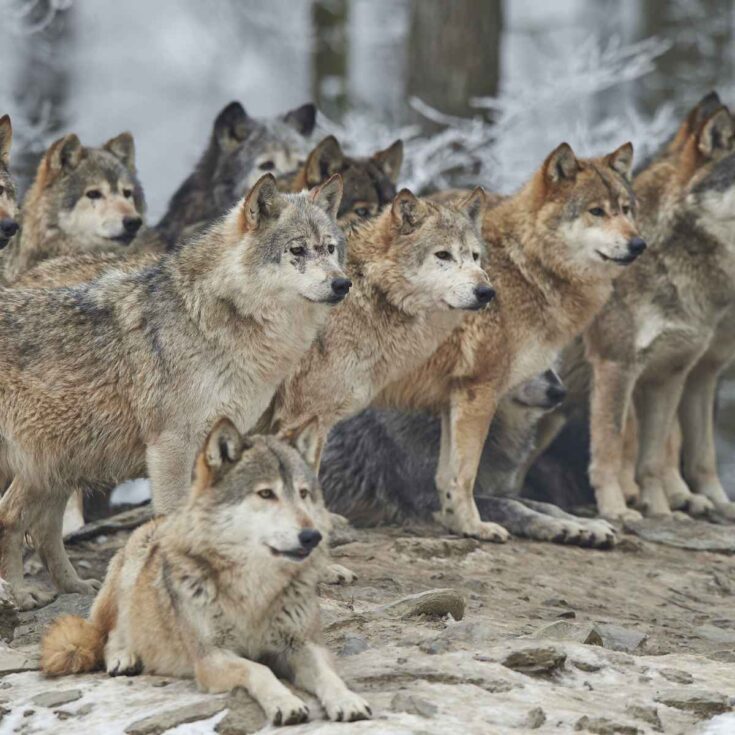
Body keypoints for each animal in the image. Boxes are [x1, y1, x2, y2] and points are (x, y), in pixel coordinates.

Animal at [0, 173, 348, 610]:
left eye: (330, 249)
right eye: (297, 250)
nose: (342, 283)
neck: (215, 317)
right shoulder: (171, 447)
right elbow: (172, 519)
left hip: (58, 463)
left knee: (37, 526)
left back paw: (73, 586)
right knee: (11, 518)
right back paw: (19, 593)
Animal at [41, 419, 371, 726]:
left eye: (303, 493)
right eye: (266, 493)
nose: (312, 536)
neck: (255, 590)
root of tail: (157, 520)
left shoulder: (302, 646)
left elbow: (327, 675)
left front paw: (348, 701)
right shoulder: (211, 658)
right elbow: (260, 669)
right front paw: (286, 703)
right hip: (129, 574)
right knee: (109, 634)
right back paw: (124, 657)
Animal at [371, 142, 645, 542]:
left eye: (626, 209)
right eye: (596, 211)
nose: (639, 244)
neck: (527, 267)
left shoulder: (454, 396)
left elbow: (452, 477)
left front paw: (459, 525)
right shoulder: (479, 391)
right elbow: (466, 474)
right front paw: (475, 526)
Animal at [586, 102, 735, 520]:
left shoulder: (685, 370)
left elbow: (677, 452)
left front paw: (664, 507)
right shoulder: (617, 365)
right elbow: (612, 444)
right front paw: (616, 508)